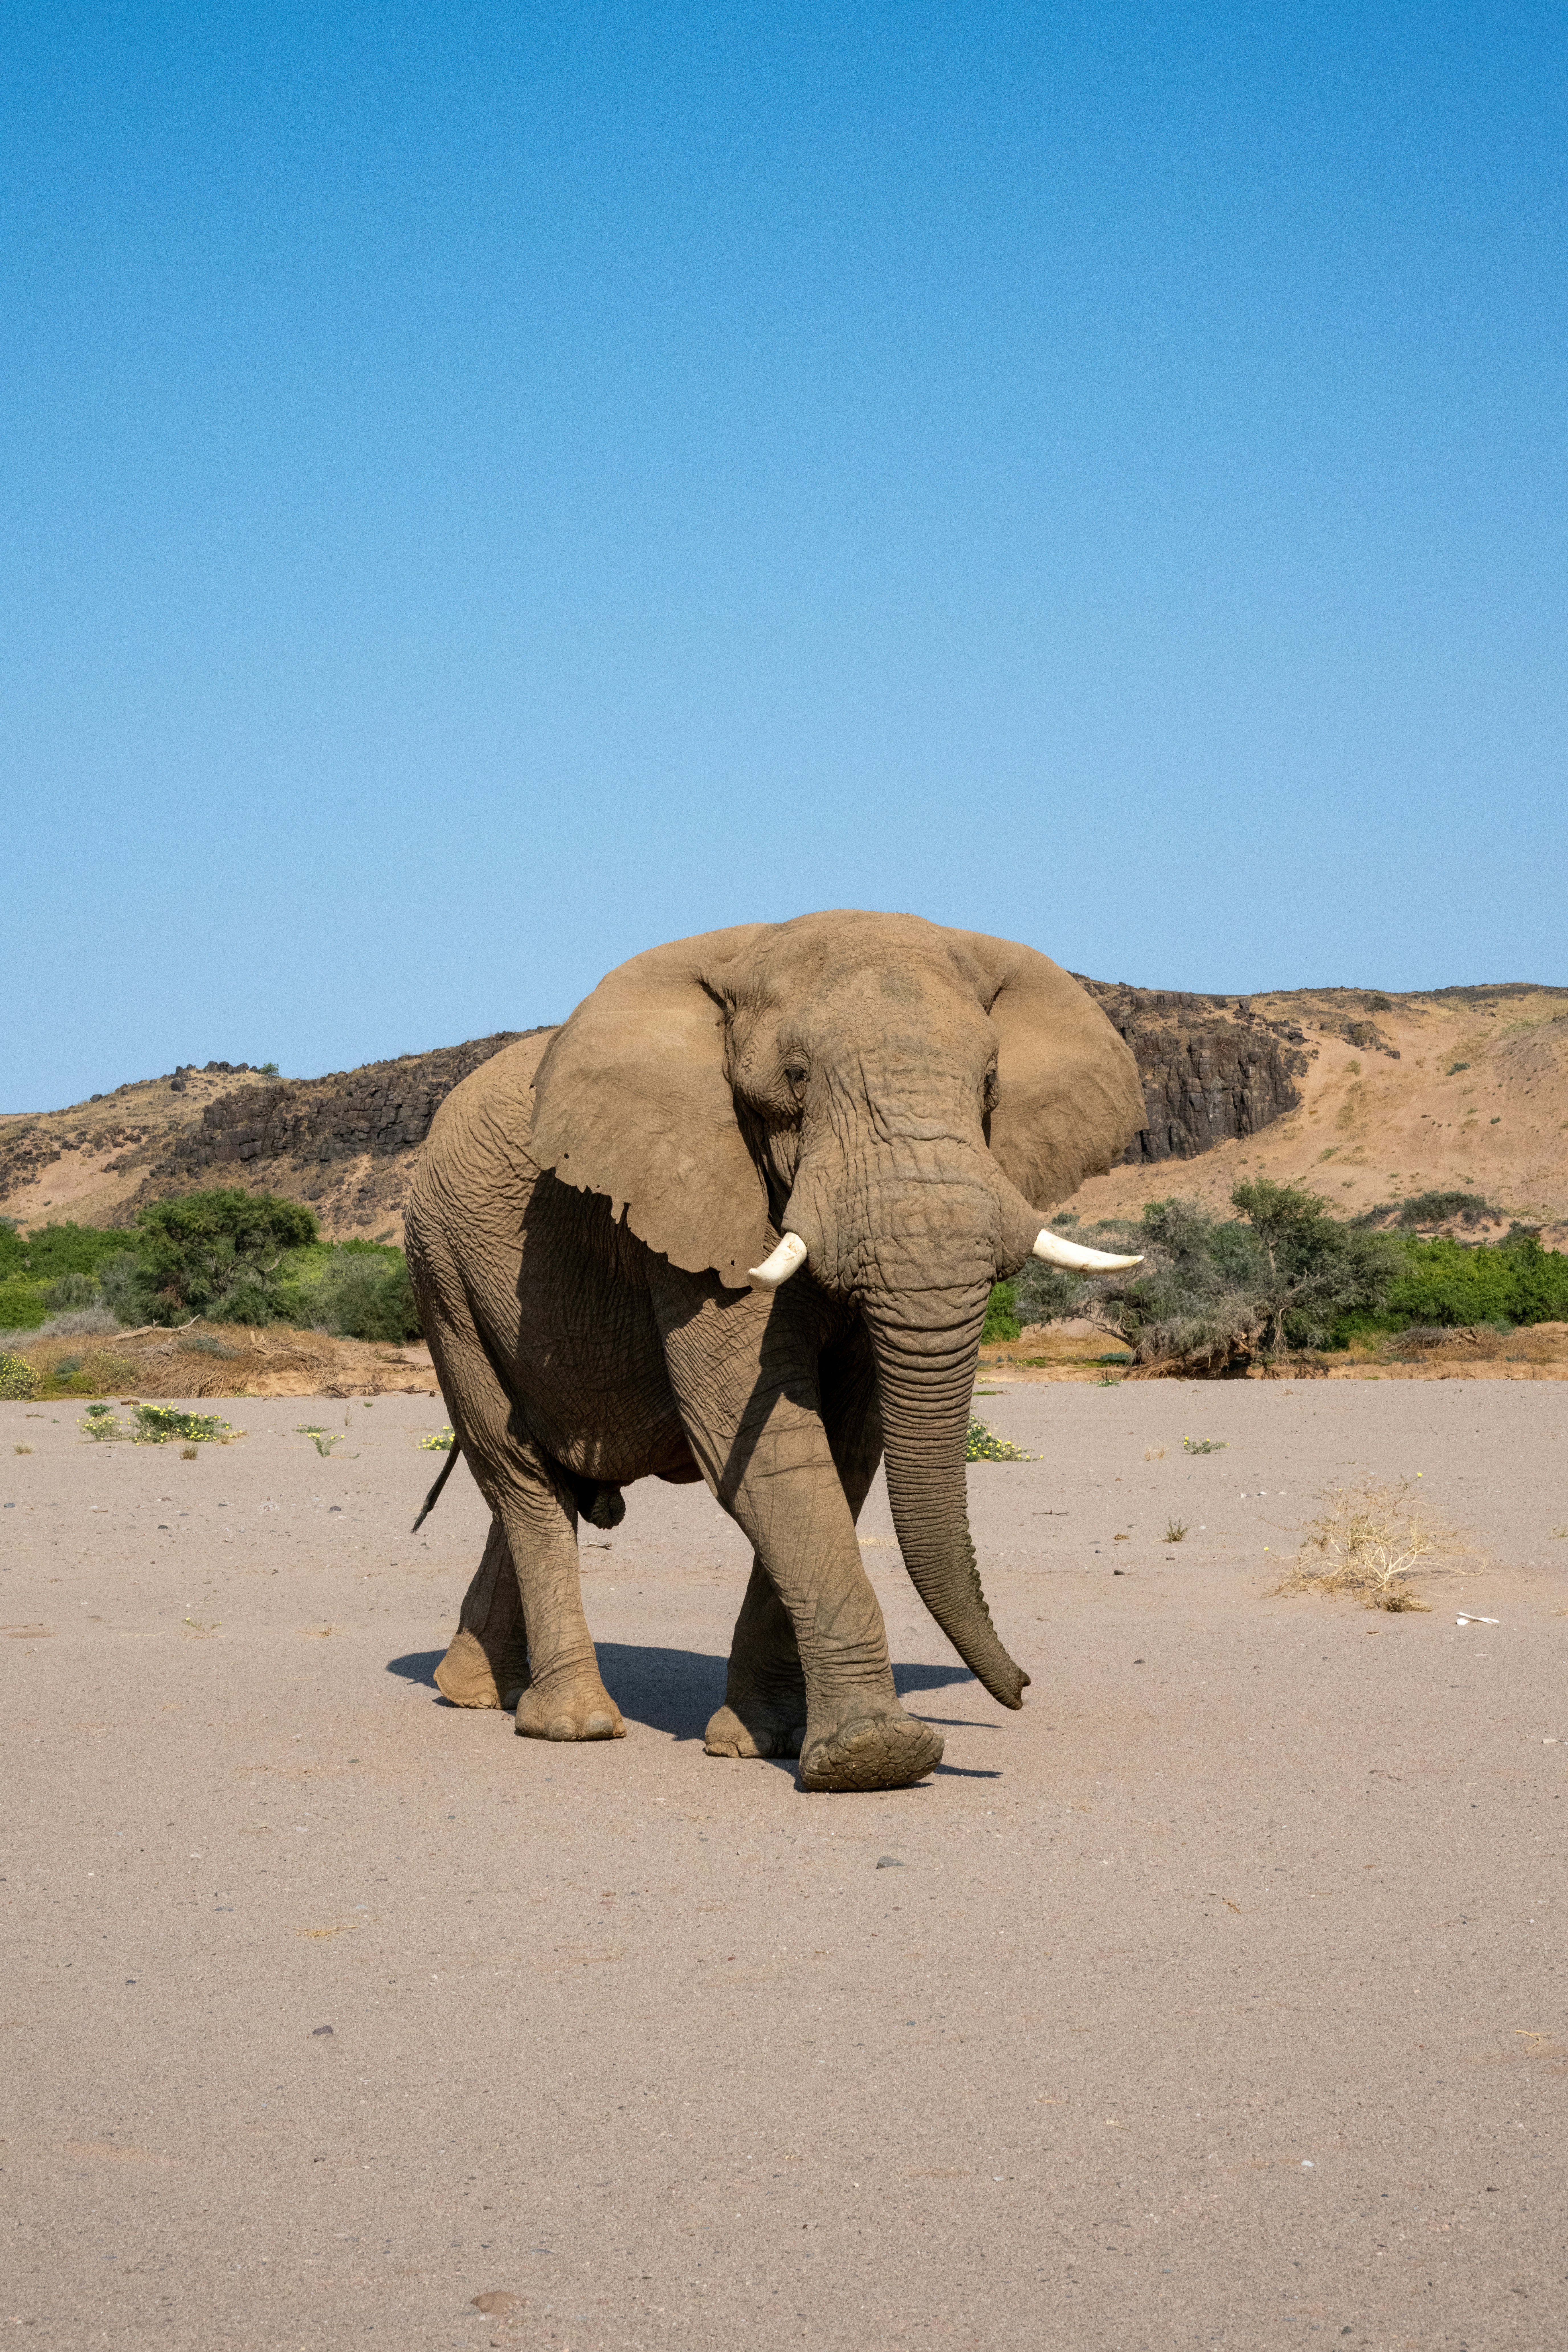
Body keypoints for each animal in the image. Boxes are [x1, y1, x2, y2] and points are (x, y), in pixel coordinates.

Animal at [405, 910, 1143, 1794]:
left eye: (992, 1083)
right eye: (794, 1080)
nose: (1025, 1686)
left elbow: (848, 1442)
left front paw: (770, 1740)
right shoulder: (692, 1200)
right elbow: (764, 1440)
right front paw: (874, 1758)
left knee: (534, 1481)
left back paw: (472, 1691)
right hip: (443, 1271)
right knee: (517, 1472)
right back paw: (572, 1723)